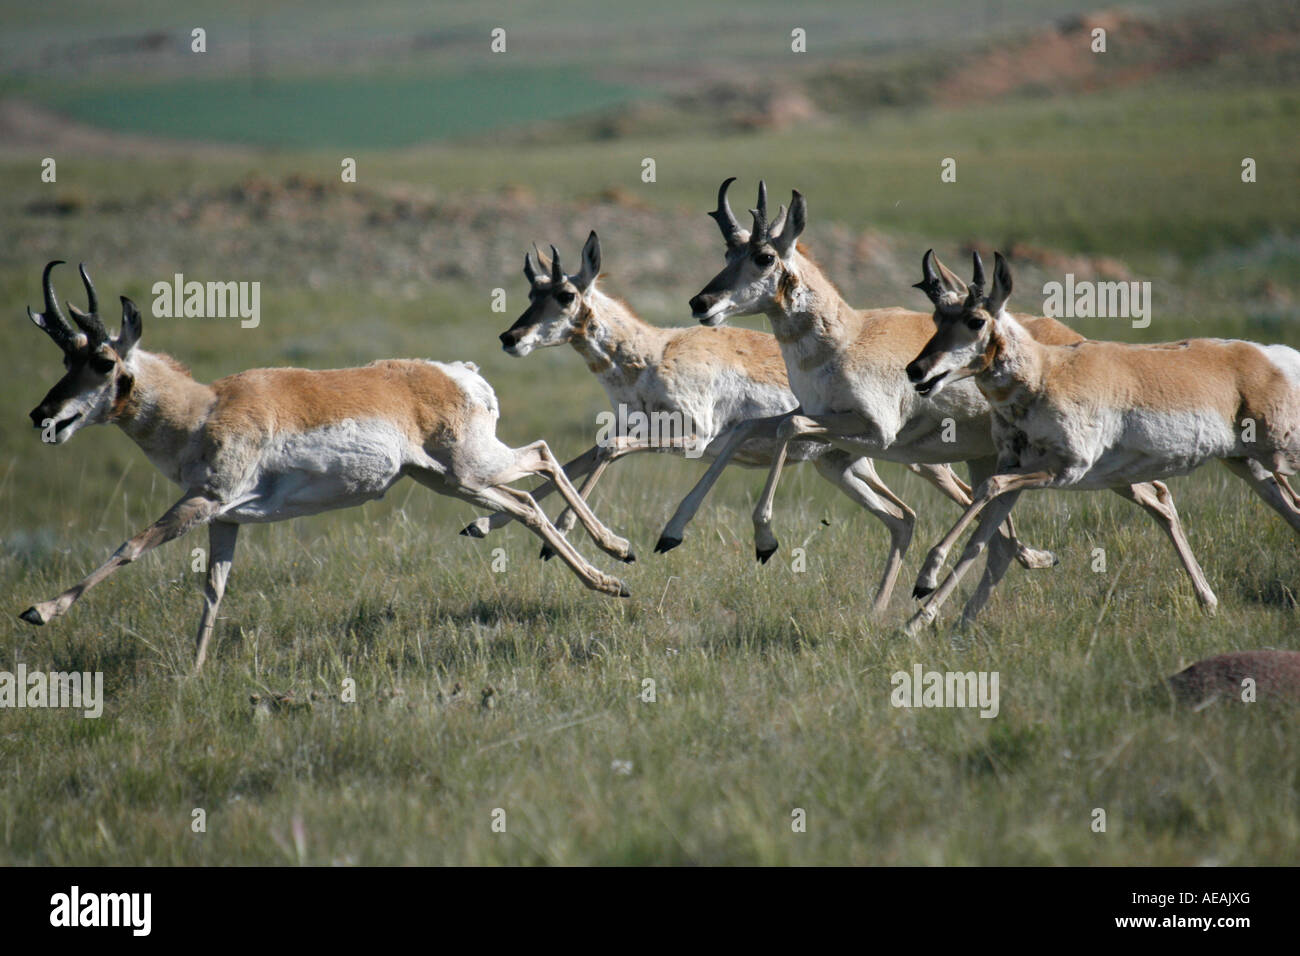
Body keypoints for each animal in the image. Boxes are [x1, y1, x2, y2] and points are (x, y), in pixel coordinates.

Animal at [17, 261, 633, 671]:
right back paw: (611, 565)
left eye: (102, 361)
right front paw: (193, 673)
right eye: (65, 358)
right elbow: (214, 589)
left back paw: (614, 564)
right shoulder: (225, 518)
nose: (41, 414)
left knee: (540, 460)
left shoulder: (204, 501)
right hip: (450, 481)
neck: (204, 407)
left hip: (471, 469)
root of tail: (458, 372)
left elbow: (132, 545)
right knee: (528, 495)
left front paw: (40, 611)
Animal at [463, 231, 972, 613]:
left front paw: (569, 537)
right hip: (842, 465)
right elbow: (579, 457)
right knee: (902, 518)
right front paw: (483, 525)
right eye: (532, 292)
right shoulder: (643, 426)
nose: (511, 337)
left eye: (566, 294)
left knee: (966, 498)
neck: (654, 350)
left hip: (922, 462)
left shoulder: (691, 437)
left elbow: (607, 449)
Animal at [673, 178, 1195, 625]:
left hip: (1088, 462)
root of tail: (1071, 341)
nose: (701, 303)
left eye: (764, 256)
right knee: (1000, 540)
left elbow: (787, 428)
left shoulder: (871, 431)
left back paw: (1201, 601)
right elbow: (750, 427)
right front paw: (670, 533)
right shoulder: (820, 416)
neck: (846, 336)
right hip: (993, 462)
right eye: (728, 250)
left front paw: (765, 541)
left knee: (1157, 496)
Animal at [903, 251, 1300, 633]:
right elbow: (980, 535)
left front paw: (925, 580)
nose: (915, 369)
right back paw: (1212, 601)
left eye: (976, 320)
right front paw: (915, 622)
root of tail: (1268, 356)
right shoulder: (1015, 466)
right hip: (1246, 463)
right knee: (1290, 508)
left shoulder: (1065, 470)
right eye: (937, 318)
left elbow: (988, 488)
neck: (1045, 370)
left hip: (1279, 452)